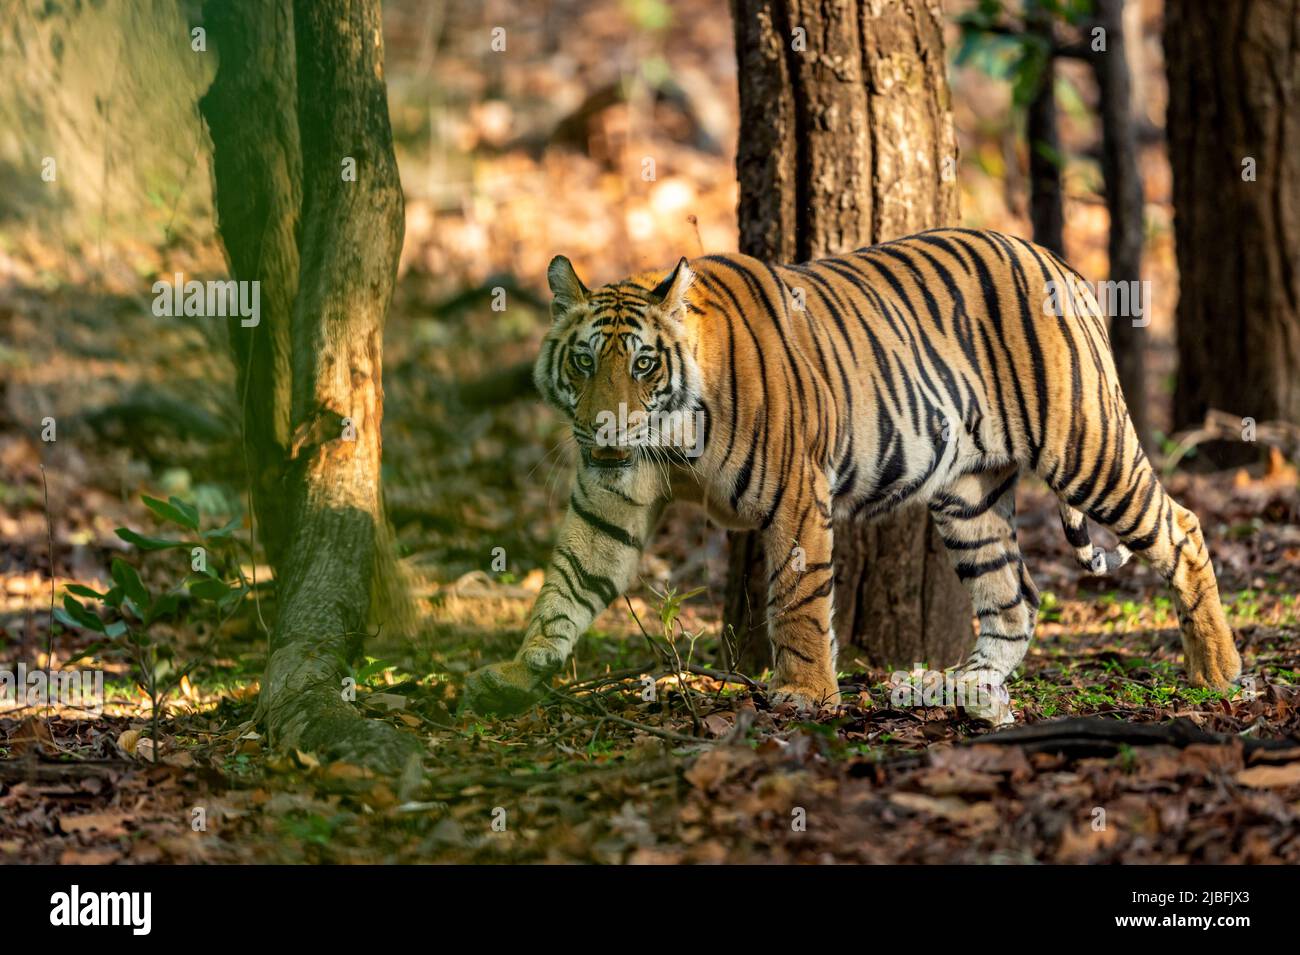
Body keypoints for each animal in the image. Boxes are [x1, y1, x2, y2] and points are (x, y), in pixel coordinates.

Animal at [462, 228, 1243, 716]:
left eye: (645, 364)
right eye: (584, 361)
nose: (603, 429)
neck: (671, 439)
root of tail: (1059, 262)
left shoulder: (794, 493)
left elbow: (798, 598)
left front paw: (806, 693)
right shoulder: (609, 496)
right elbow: (567, 582)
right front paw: (517, 671)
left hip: (1085, 446)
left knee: (1181, 525)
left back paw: (1217, 669)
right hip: (968, 497)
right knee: (1012, 599)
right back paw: (960, 689)